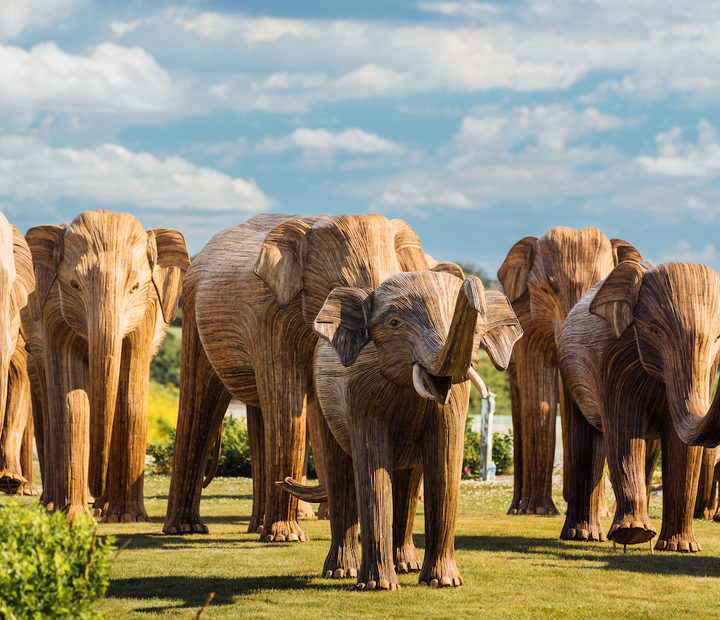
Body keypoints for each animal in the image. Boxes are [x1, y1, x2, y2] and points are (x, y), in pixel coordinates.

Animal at [21, 210, 190, 520]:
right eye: (74, 285)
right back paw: (52, 506)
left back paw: (105, 509)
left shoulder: (147, 308)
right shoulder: (52, 309)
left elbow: (130, 402)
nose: (95, 490)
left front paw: (127, 518)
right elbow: (71, 404)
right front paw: (73, 517)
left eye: (135, 287)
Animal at [162, 213, 431, 542]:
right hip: (192, 313)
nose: (287, 481)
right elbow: (287, 408)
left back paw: (256, 527)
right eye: (334, 293)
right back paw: (186, 529)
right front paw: (286, 538)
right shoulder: (273, 317)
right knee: (200, 403)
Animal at [278, 270, 522, 590]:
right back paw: (341, 572)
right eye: (394, 323)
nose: (472, 282)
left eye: (480, 324)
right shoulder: (361, 389)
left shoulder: (455, 397)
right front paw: (377, 586)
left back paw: (406, 566)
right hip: (323, 401)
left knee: (409, 478)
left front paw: (444, 582)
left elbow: (444, 465)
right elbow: (372, 469)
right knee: (340, 470)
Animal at [497, 227, 641, 533]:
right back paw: (518, 508)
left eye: (599, 286)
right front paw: (536, 512)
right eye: (545, 290)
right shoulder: (527, 326)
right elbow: (540, 404)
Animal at [558, 260, 720, 551]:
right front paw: (636, 534)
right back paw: (584, 535)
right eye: (655, 330)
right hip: (567, 371)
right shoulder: (614, 359)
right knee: (584, 442)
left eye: (717, 339)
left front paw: (680, 547)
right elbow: (624, 436)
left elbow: (684, 449)